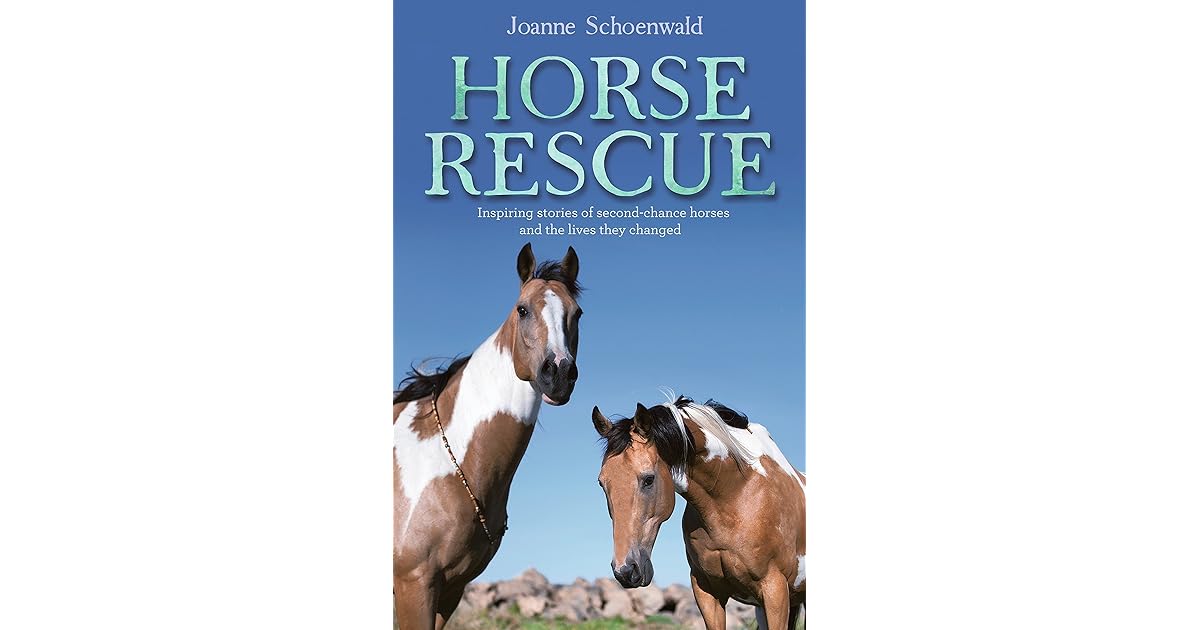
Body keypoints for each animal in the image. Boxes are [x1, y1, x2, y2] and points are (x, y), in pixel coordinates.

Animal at [592, 395, 806, 629]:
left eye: (648, 479)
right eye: (602, 483)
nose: (625, 571)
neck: (736, 494)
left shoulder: (775, 590)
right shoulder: (707, 592)